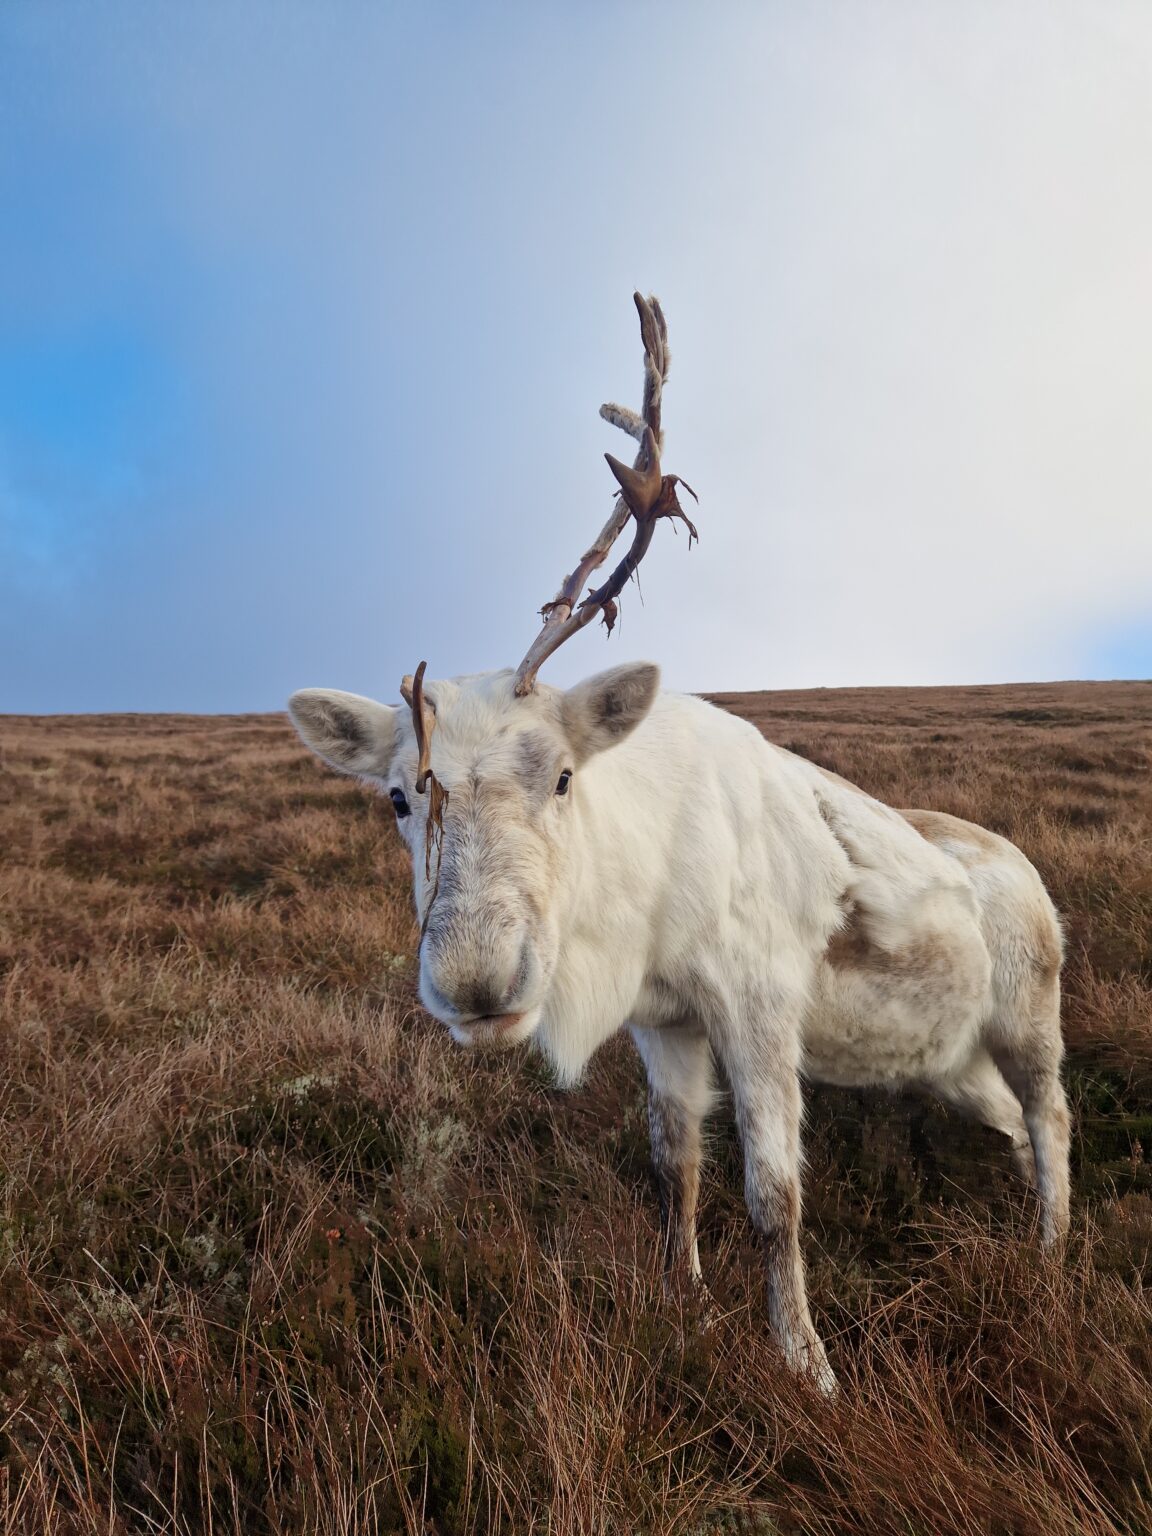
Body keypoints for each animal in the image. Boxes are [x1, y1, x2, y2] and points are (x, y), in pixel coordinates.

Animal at [288, 294, 1071, 1393]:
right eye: (399, 797)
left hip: (1030, 1014)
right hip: (951, 1057)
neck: (646, 902)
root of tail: (1029, 872)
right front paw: (684, 1299)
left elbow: (774, 1196)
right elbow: (677, 1167)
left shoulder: (759, 1009)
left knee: (1052, 1116)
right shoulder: (665, 1025)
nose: (477, 986)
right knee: (1005, 1117)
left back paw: (1049, 1247)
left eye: (562, 777)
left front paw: (807, 1364)